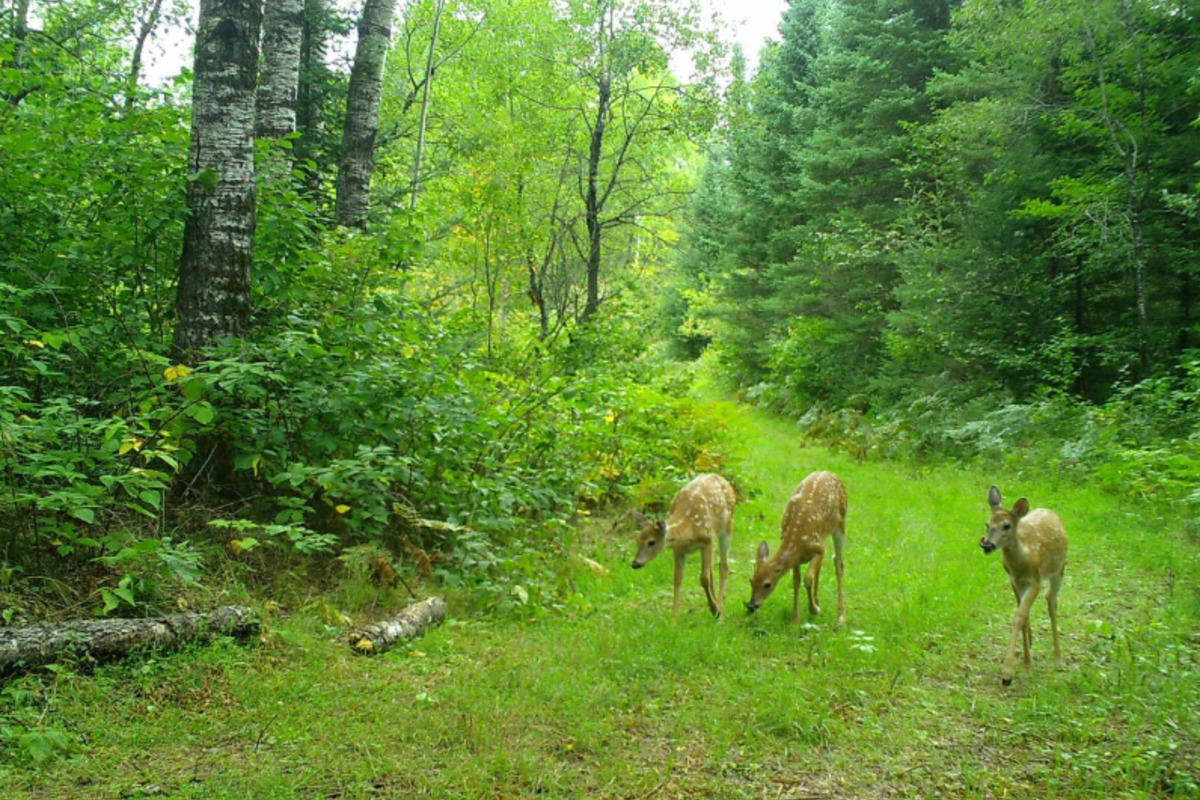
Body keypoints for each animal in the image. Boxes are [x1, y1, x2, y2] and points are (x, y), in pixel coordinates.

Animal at [630, 473, 737, 619]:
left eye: (651, 542)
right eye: (638, 540)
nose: (635, 563)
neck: (688, 529)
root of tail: (722, 479)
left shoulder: (708, 539)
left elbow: (703, 578)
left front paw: (716, 610)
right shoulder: (678, 550)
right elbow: (677, 579)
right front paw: (673, 619)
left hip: (727, 528)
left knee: (724, 567)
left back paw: (720, 609)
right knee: (712, 569)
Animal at [746, 471, 847, 628]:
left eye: (767, 584)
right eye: (751, 581)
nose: (751, 605)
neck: (797, 540)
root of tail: (831, 473)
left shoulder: (818, 547)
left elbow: (808, 578)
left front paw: (814, 610)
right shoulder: (799, 558)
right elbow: (796, 580)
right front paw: (795, 619)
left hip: (841, 524)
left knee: (838, 564)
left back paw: (841, 617)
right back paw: (818, 601)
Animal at [981, 485, 1069, 685]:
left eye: (1006, 525)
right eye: (987, 524)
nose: (987, 545)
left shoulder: (1036, 580)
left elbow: (1019, 616)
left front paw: (1008, 673)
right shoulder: (1014, 581)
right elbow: (1023, 615)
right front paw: (1026, 663)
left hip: (1059, 569)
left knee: (1052, 602)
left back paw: (1058, 658)